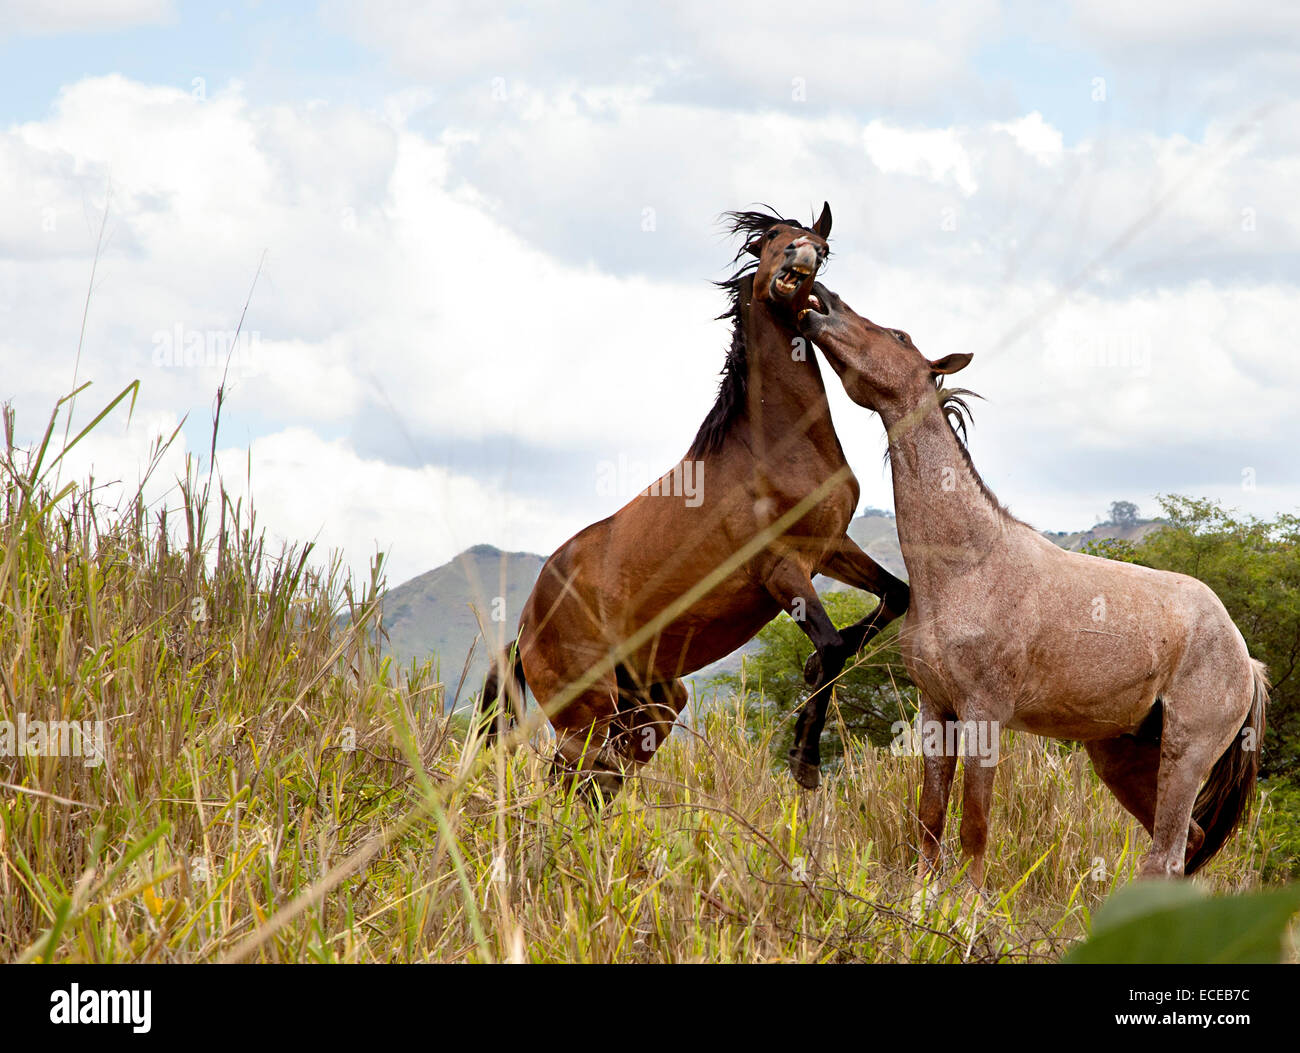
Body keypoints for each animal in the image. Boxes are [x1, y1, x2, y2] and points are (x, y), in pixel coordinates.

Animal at [476, 204, 910, 796]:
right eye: (772, 237)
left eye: (822, 247)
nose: (803, 252)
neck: (773, 447)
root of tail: (523, 630)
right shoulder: (781, 568)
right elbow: (833, 646)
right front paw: (804, 763)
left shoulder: (831, 547)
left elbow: (894, 598)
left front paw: (808, 683)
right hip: (587, 709)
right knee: (566, 784)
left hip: (652, 704)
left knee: (596, 784)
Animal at [796, 280, 1267, 881]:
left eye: (899, 335)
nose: (822, 299)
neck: (968, 565)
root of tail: (1245, 659)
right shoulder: (936, 711)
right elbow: (929, 822)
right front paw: (923, 895)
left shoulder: (985, 714)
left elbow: (974, 828)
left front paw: (969, 904)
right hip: (1121, 755)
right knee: (1186, 845)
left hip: (1185, 756)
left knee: (1165, 854)